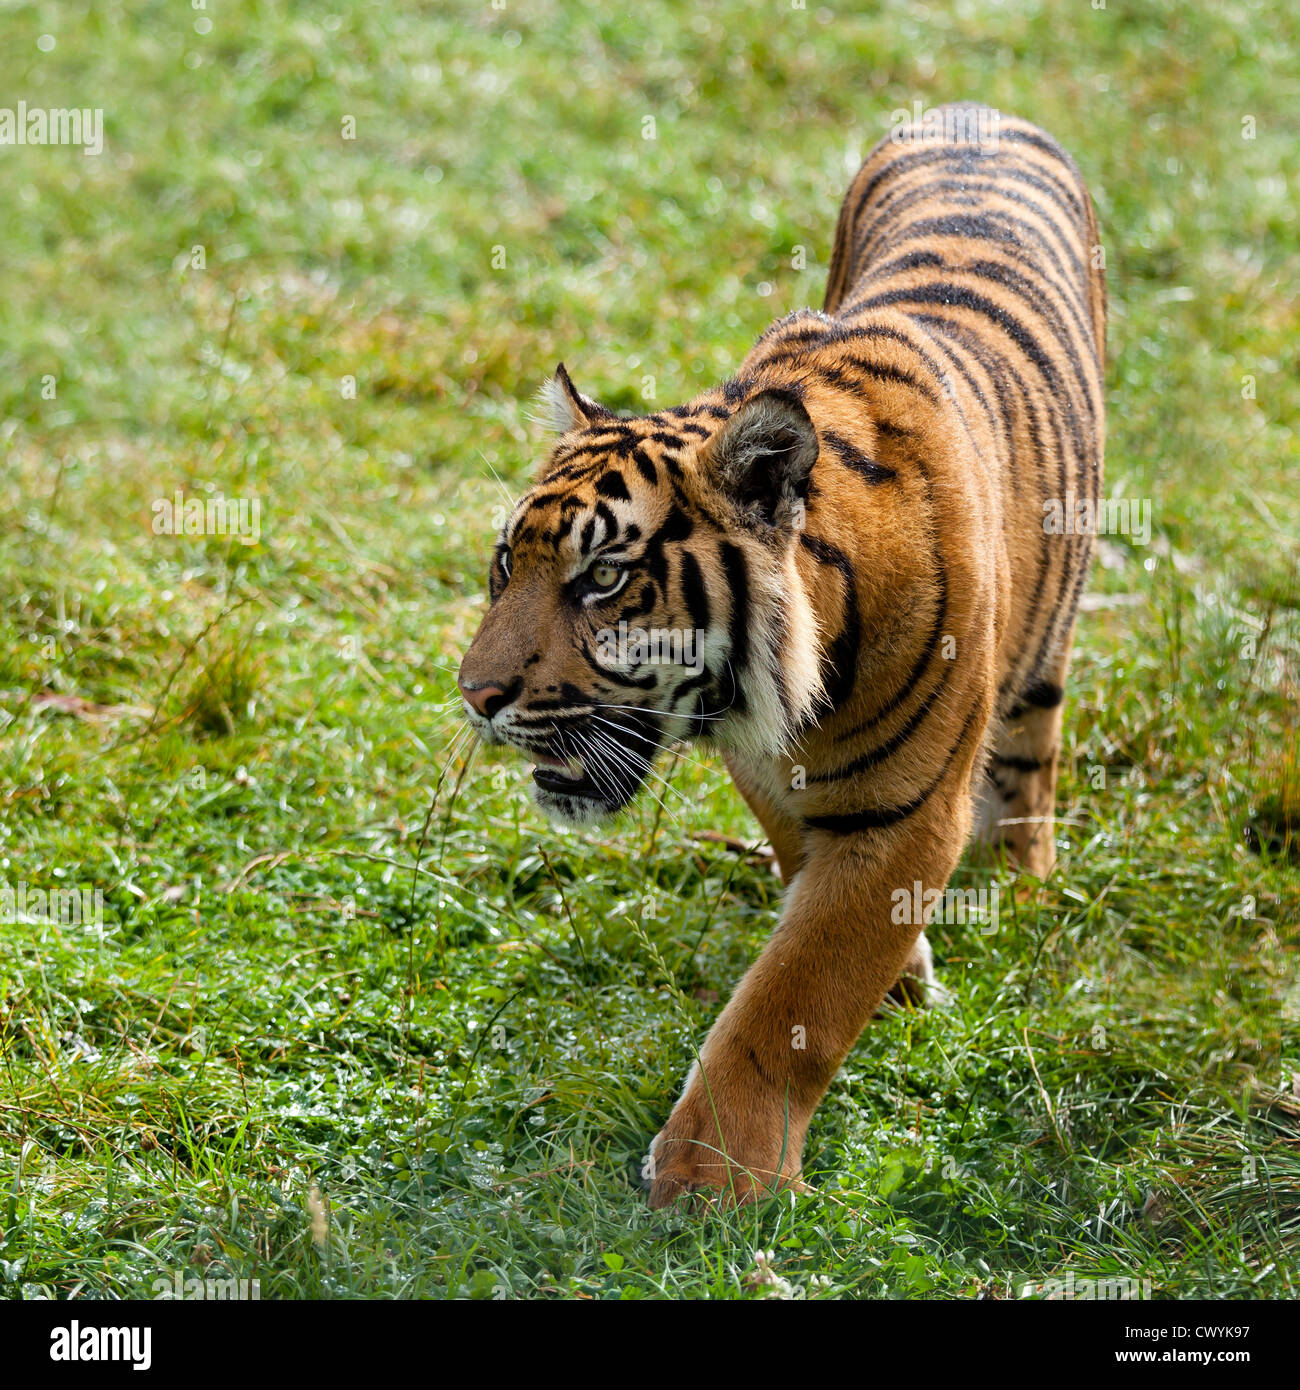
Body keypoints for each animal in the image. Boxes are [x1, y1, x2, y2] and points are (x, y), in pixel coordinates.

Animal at [457, 104, 1105, 1208]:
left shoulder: (910, 813)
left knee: (1032, 750)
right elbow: (805, 898)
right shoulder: (768, 771)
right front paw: (902, 981)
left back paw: (1022, 878)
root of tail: (976, 109)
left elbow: (794, 994)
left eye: (602, 579)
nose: (475, 695)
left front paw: (712, 1178)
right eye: (508, 564)